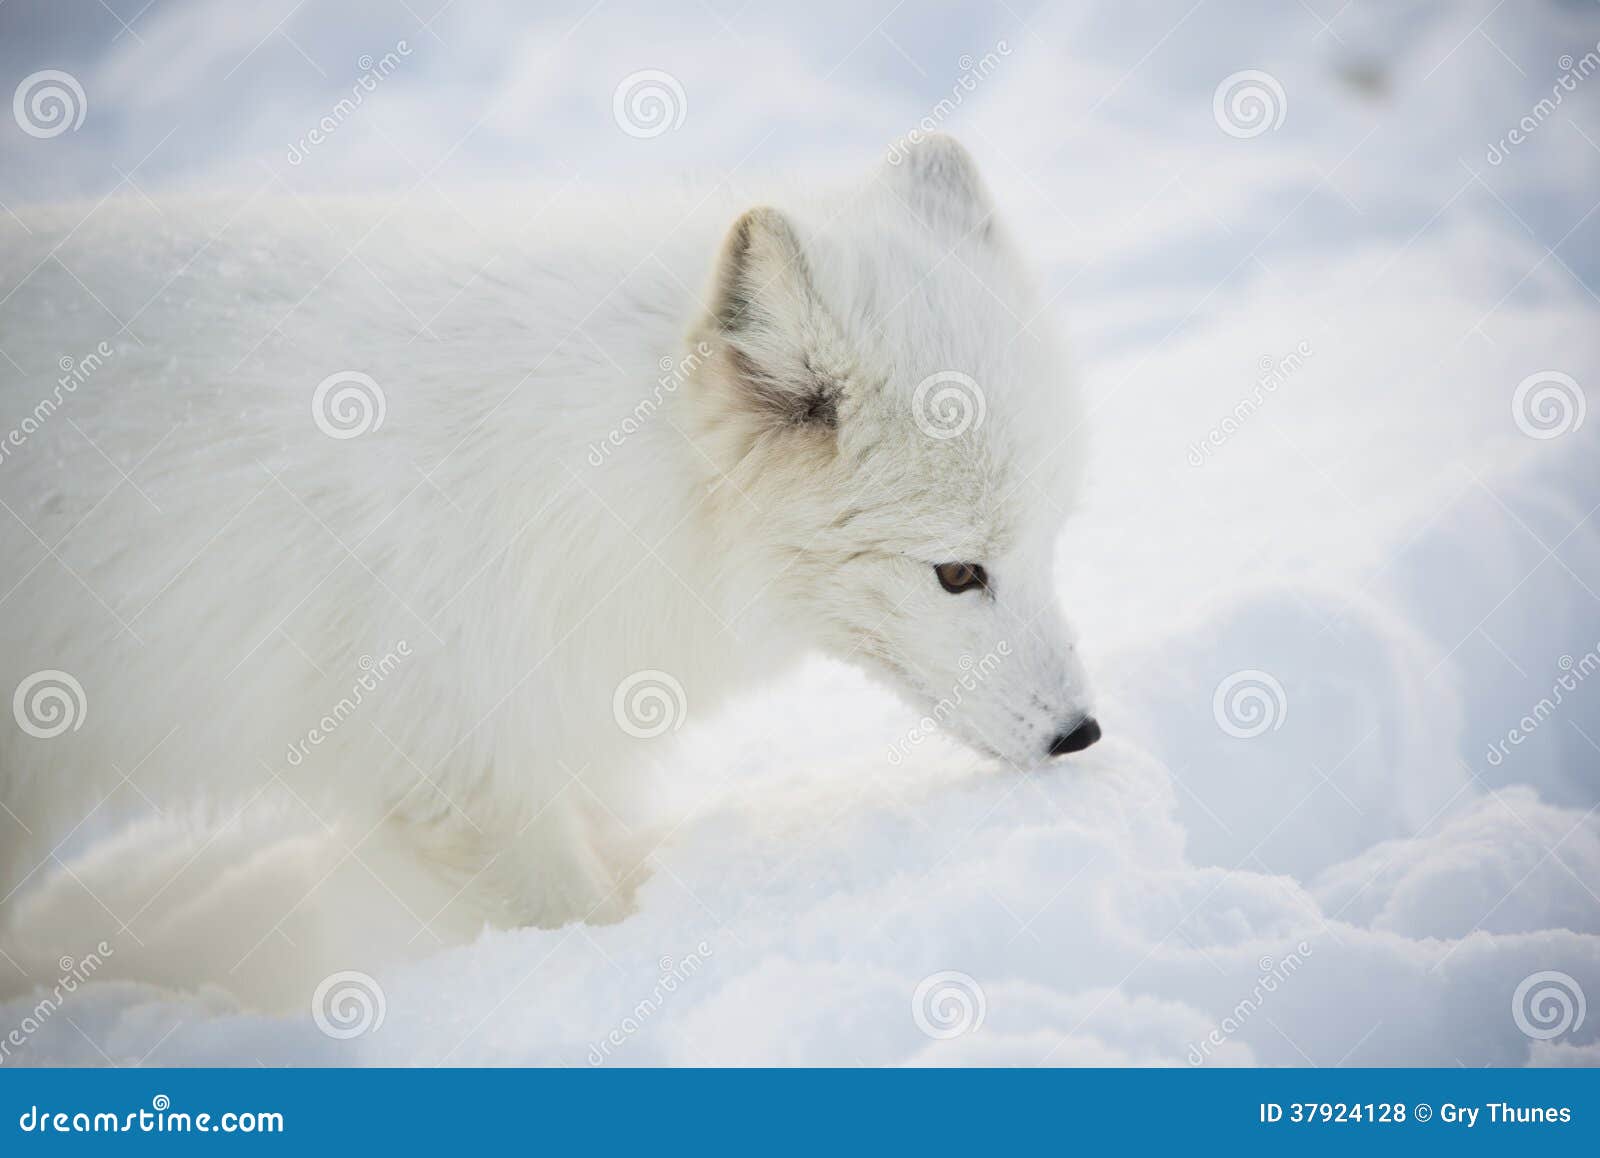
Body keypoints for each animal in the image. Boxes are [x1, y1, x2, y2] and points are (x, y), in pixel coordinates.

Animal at [0, 135, 1097, 941]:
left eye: (1051, 544)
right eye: (956, 574)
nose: (1080, 736)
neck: (608, 472)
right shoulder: (462, 774)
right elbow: (570, 916)